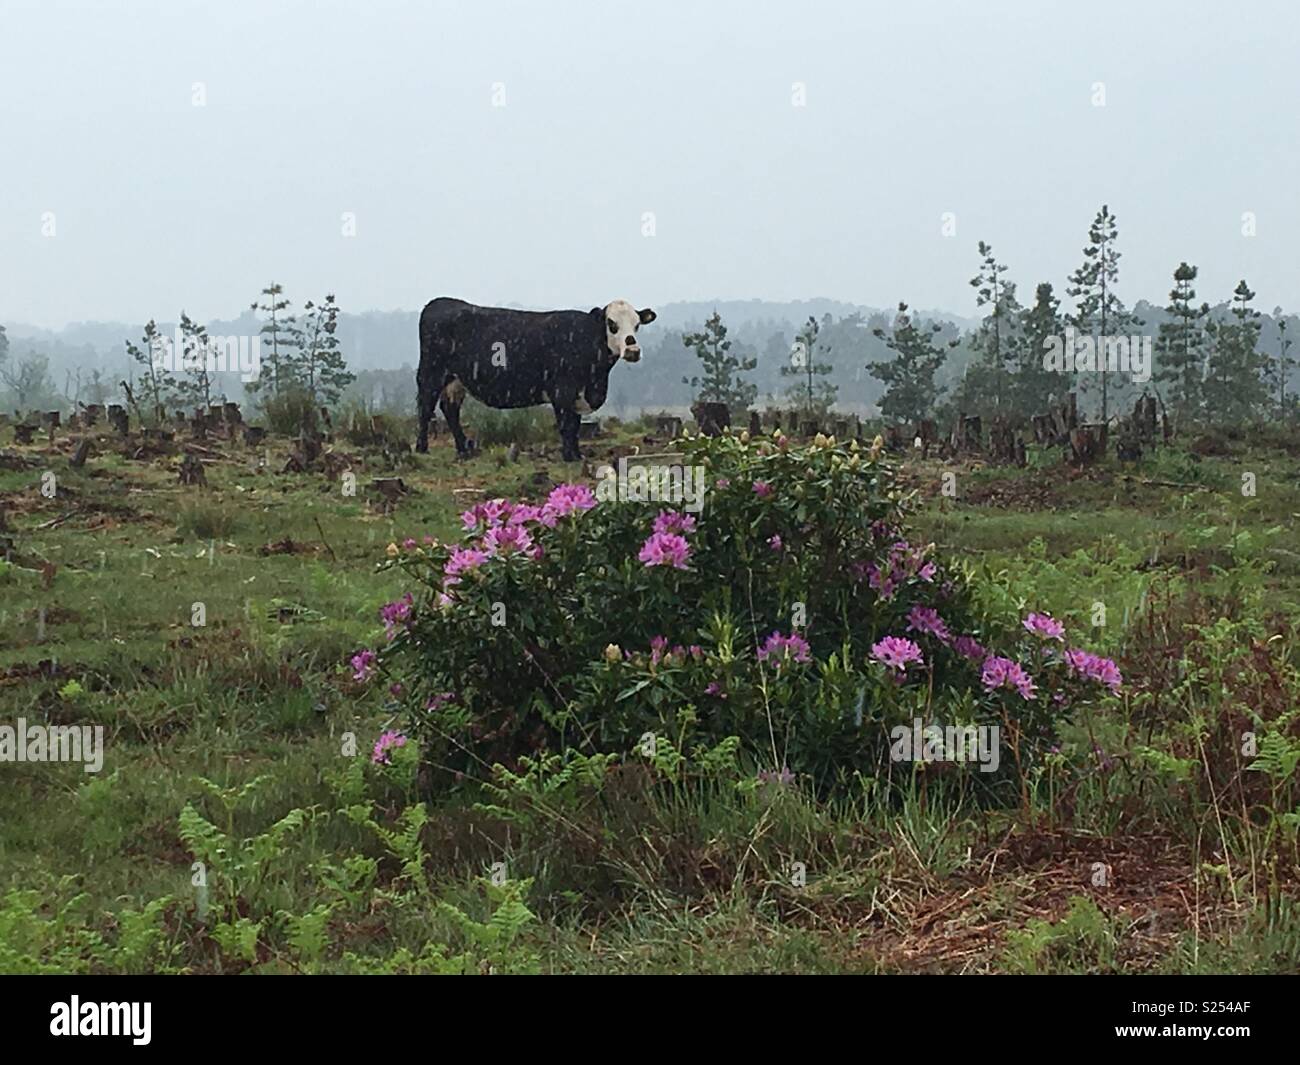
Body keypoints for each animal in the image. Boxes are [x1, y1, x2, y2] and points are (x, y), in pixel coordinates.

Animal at [415, 298, 657, 461]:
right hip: (431, 373)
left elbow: (575, 425)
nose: (633, 351)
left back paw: (464, 450)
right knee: (426, 407)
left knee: (450, 409)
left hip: (455, 380)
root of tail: (440, 302)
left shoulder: (577, 394)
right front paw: (569, 456)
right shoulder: (562, 390)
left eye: (636, 325)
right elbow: (567, 425)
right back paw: (422, 448)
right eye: (612, 324)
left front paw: (577, 454)